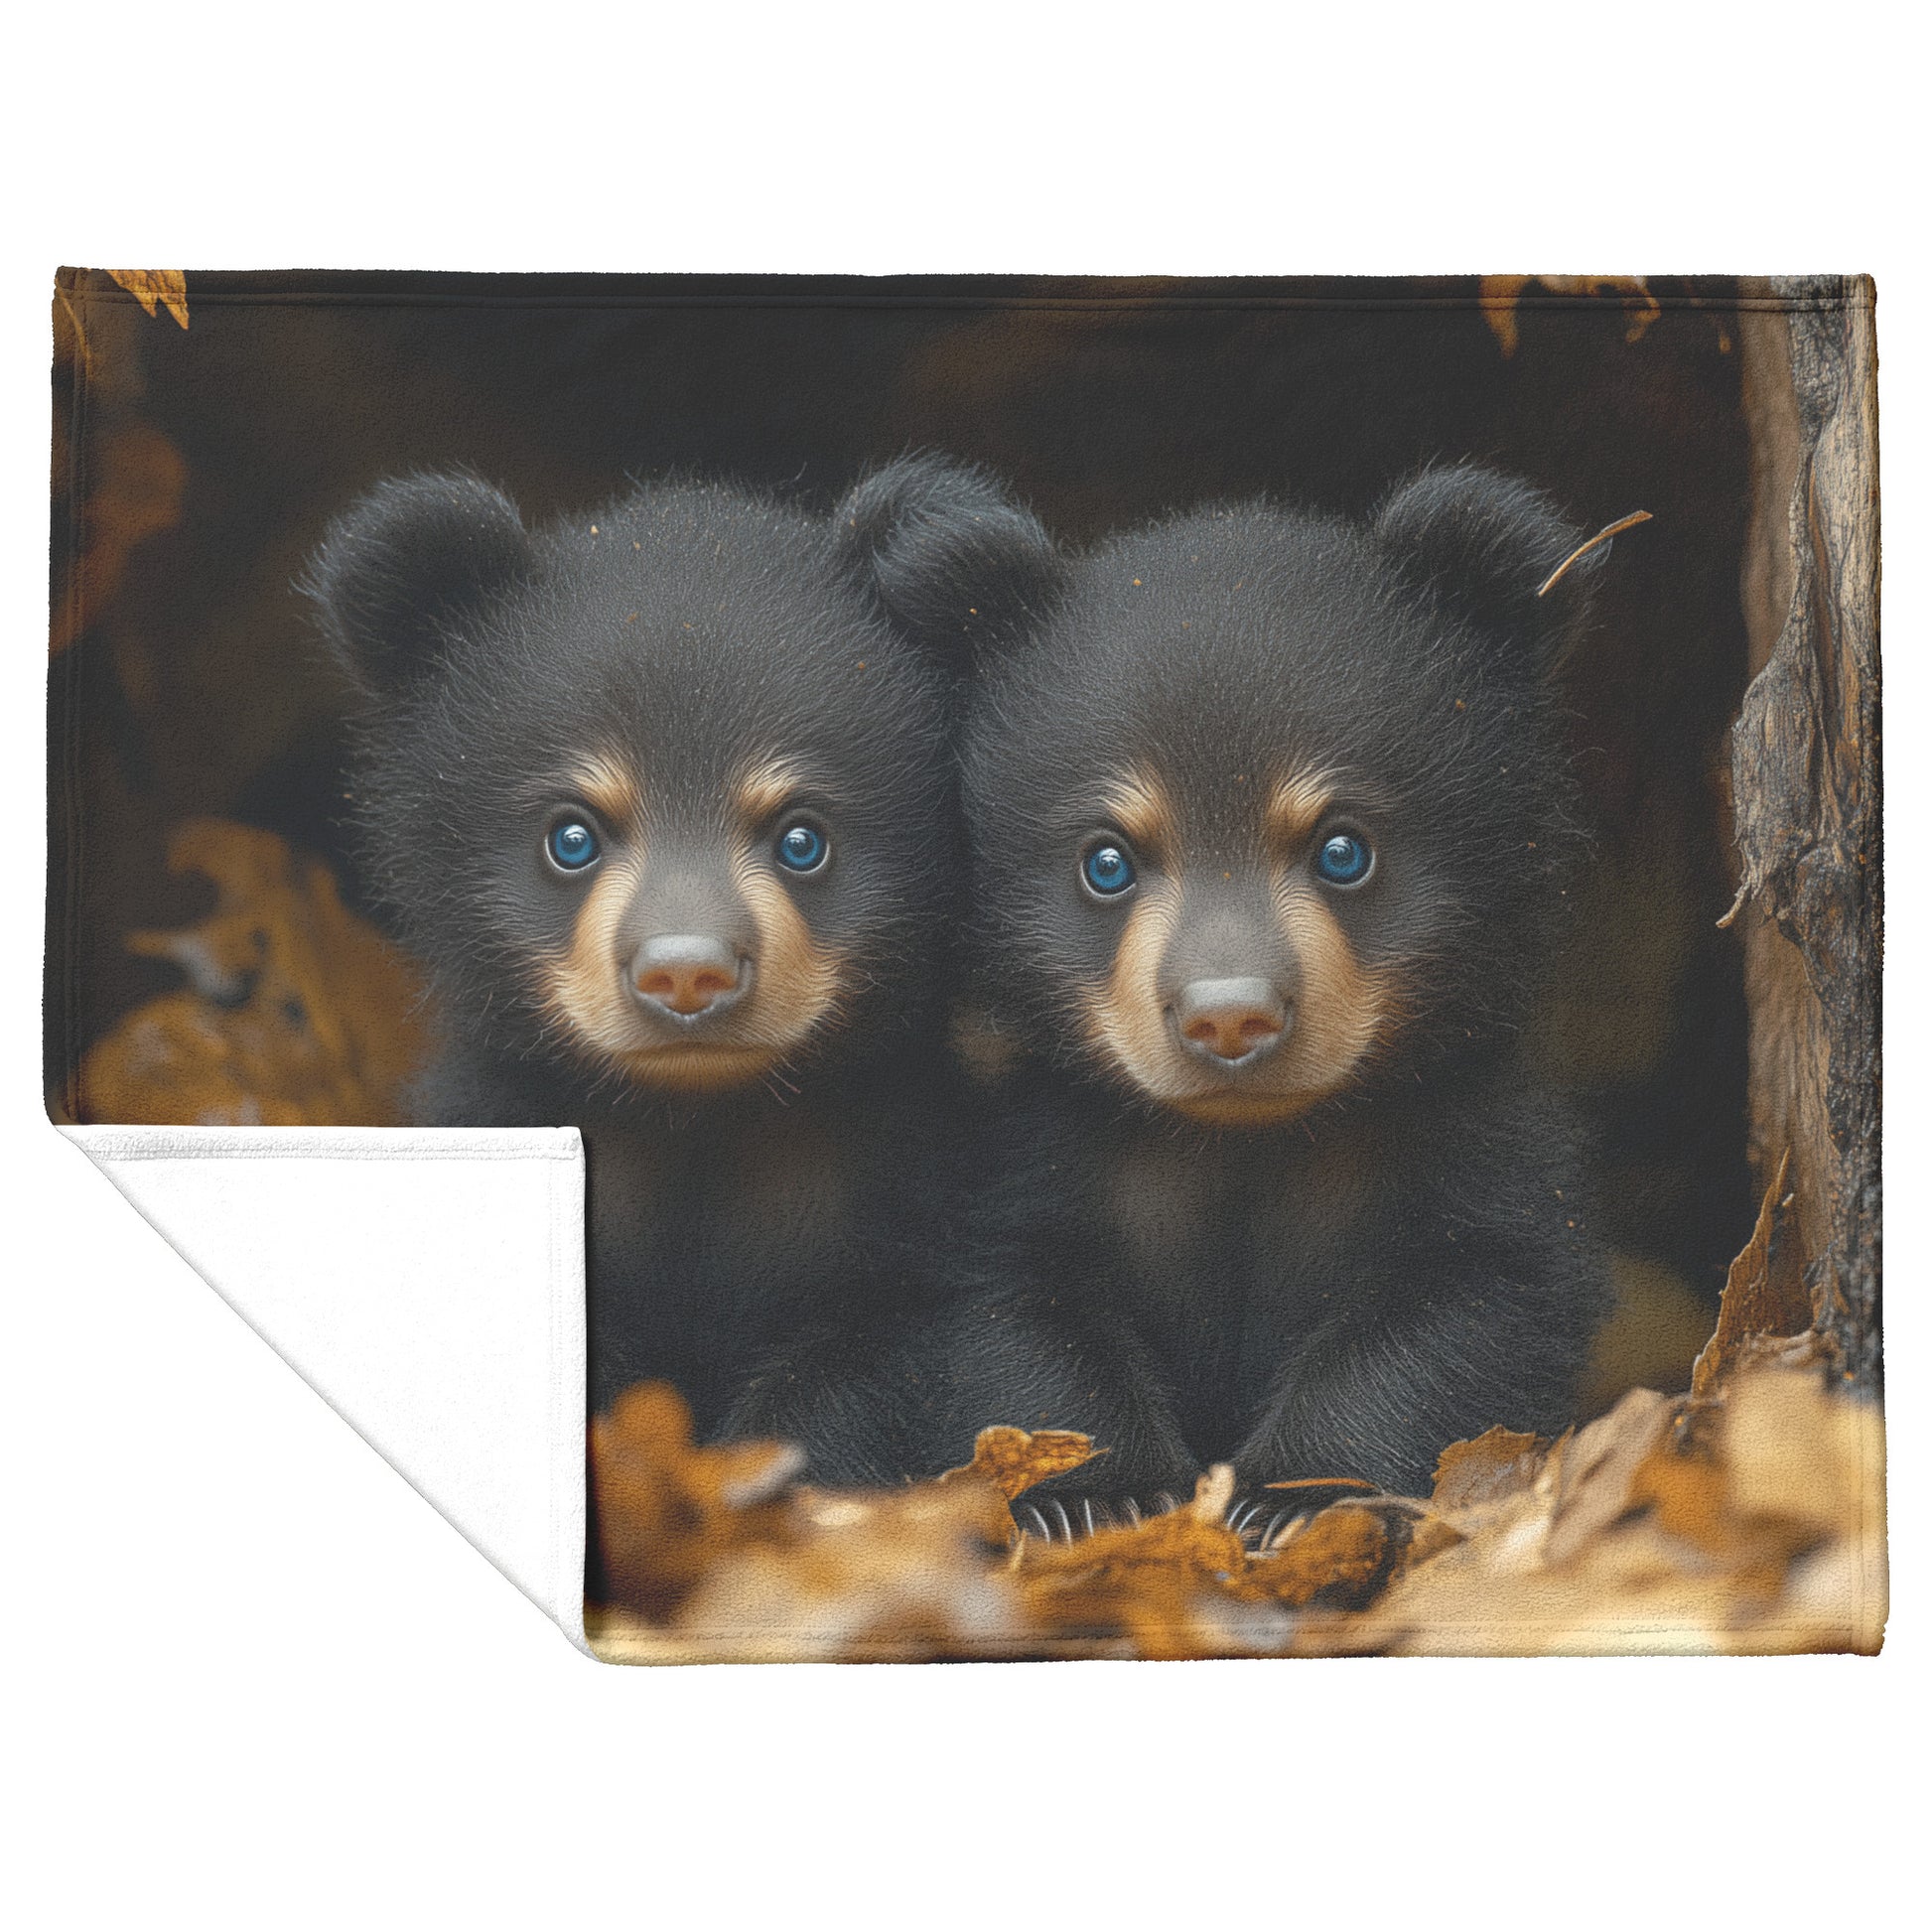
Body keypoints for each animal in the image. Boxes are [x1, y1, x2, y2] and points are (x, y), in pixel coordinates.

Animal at [306, 455, 1057, 1482]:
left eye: (802, 839)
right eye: (572, 836)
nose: (687, 975)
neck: (695, 1122)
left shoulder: (901, 1192)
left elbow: (872, 1360)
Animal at [904, 463, 1617, 1534]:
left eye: (1342, 848)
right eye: (1106, 861)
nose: (1228, 1015)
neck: (1247, 1142)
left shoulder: (1473, 1139)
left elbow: (1464, 1304)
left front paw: (1289, 1506)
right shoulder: (1038, 1153)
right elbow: (1013, 1297)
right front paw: (1094, 1500)